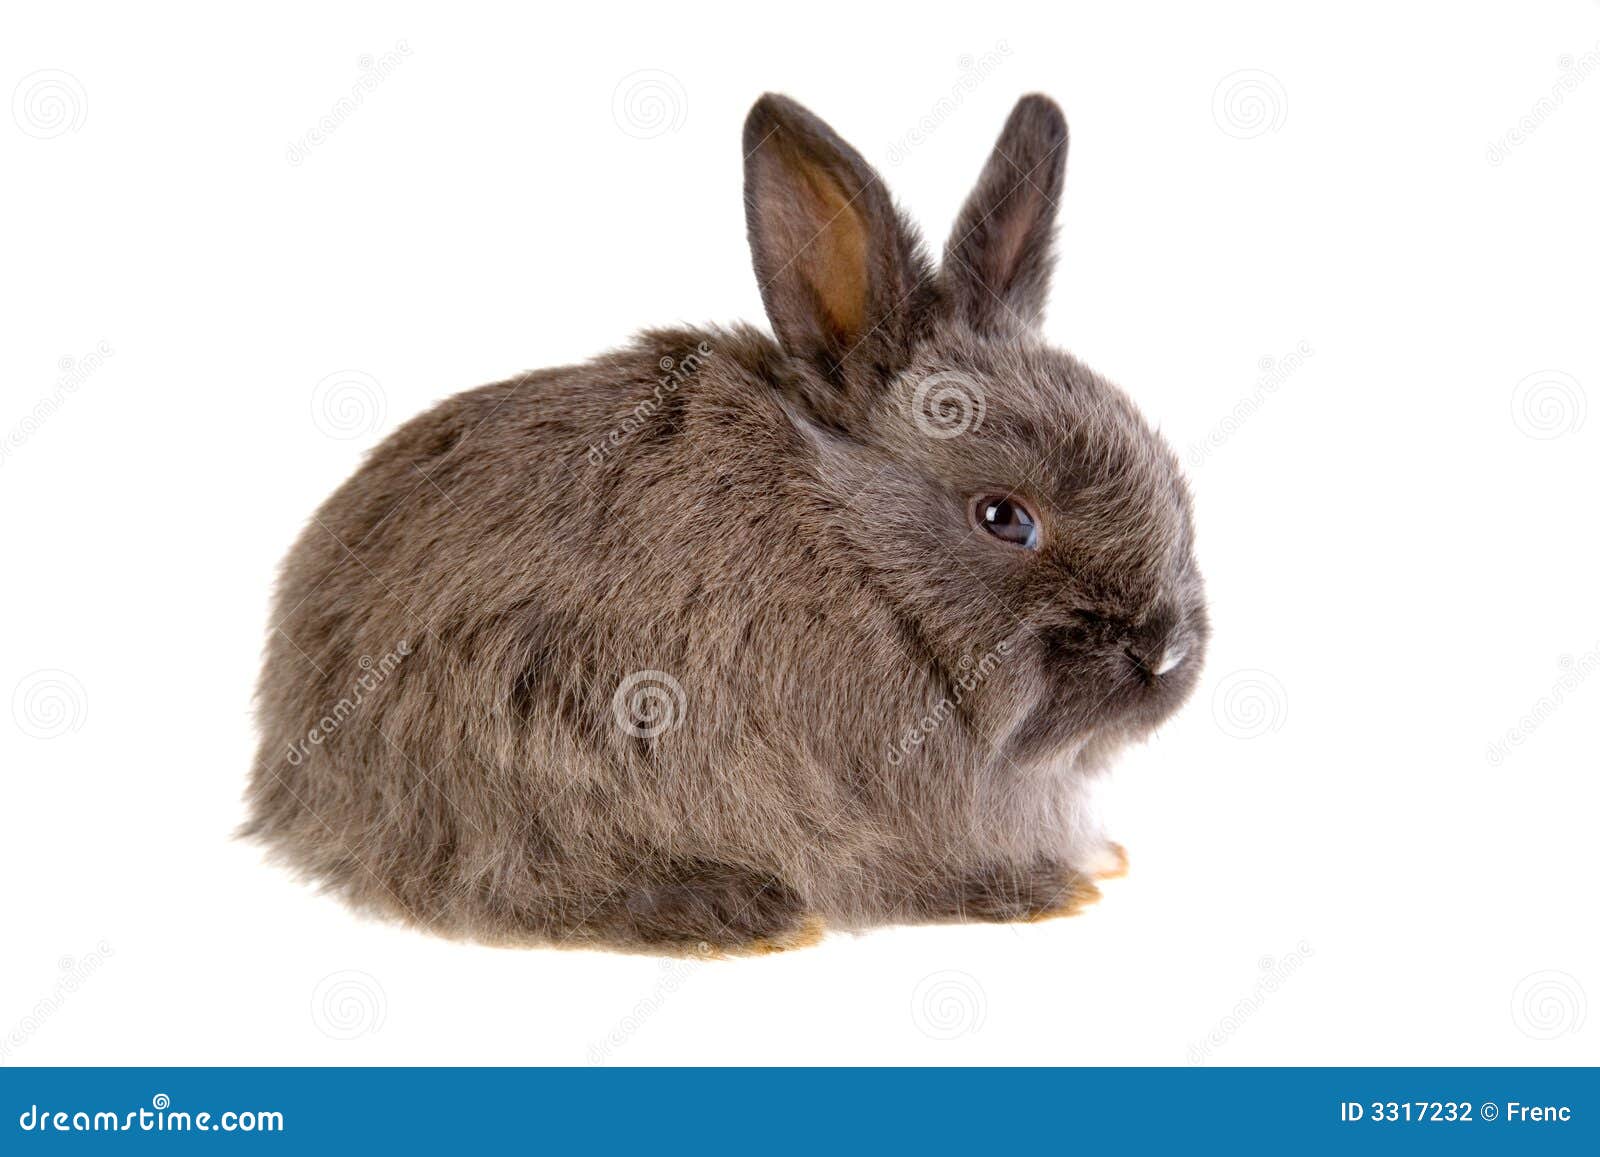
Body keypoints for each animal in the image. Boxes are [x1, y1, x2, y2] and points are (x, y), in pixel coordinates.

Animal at [244, 92, 1208, 955]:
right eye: (1004, 518)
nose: (1162, 650)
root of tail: (290, 781)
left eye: (1173, 484)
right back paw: (743, 914)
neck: (867, 560)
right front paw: (1054, 886)